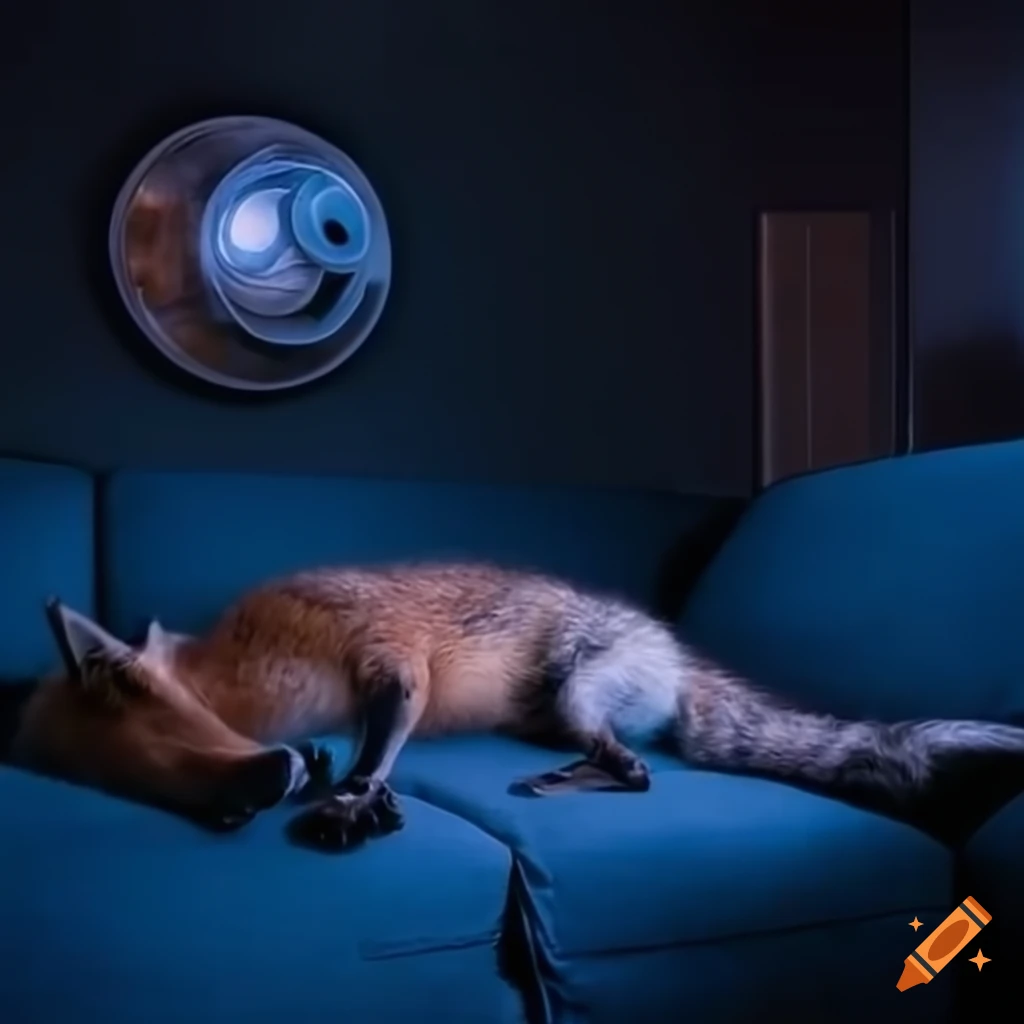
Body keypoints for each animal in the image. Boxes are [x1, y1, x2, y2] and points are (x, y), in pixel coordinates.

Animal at [5, 561, 1024, 851]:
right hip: (563, 709)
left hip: (577, 691)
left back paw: (575, 780)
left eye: (145, 714)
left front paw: (354, 795)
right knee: (635, 765)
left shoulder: (382, 653)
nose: (240, 797)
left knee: (641, 773)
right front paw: (335, 783)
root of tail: (675, 650)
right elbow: (348, 754)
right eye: (119, 779)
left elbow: (382, 736)